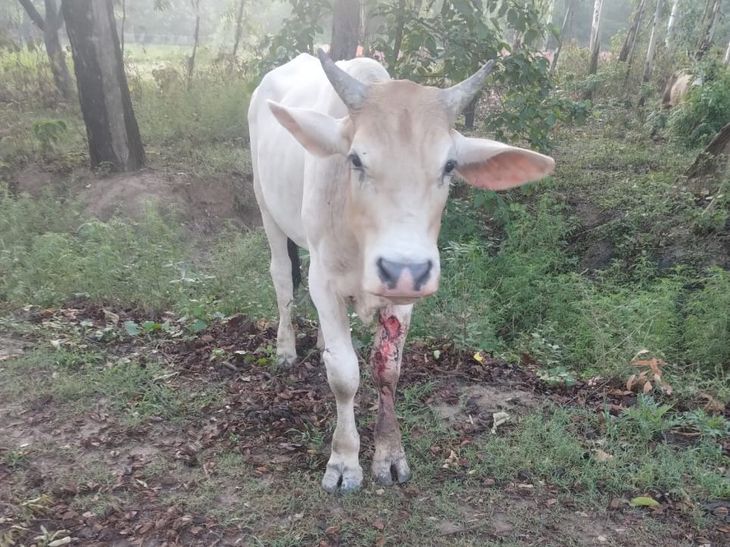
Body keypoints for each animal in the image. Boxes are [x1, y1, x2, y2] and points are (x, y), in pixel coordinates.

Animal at [247, 51, 554, 493]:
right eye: (356, 159)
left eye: (449, 166)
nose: (403, 268)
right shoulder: (324, 277)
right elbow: (344, 374)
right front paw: (344, 461)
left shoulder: (404, 296)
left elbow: (386, 370)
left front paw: (390, 455)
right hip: (266, 207)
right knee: (283, 280)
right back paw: (286, 349)